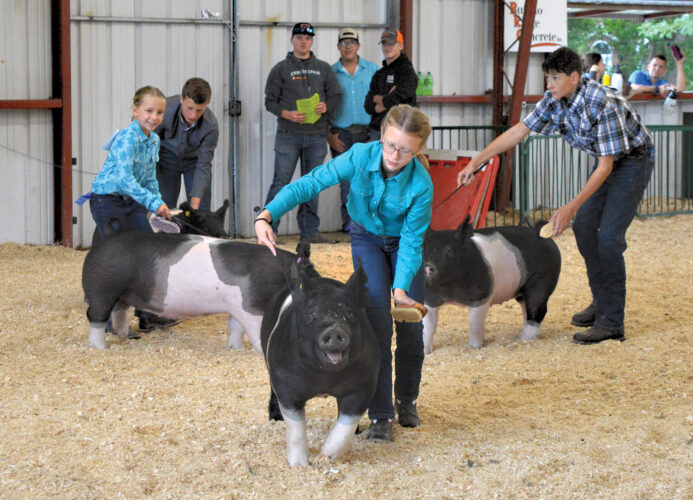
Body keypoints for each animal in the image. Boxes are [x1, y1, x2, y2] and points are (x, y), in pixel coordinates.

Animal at [82, 231, 315, 350]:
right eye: (311, 275)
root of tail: (95, 250)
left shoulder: (237, 306)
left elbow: (235, 328)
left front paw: (234, 348)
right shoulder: (251, 306)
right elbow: (256, 331)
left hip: (123, 294)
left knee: (118, 312)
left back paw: (125, 337)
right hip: (103, 289)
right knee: (95, 317)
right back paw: (100, 348)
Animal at [261, 245, 378, 467]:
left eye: (349, 313)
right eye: (312, 314)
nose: (334, 330)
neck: (325, 380)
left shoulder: (364, 383)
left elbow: (346, 425)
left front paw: (324, 459)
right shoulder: (285, 383)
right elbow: (296, 426)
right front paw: (299, 465)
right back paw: (275, 418)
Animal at [423, 217, 561, 351]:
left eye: (449, 251)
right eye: (424, 251)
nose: (428, 266)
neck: (449, 290)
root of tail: (543, 236)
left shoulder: (482, 297)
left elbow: (475, 325)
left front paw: (474, 347)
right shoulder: (429, 300)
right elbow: (428, 327)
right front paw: (426, 351)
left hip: (541, 282)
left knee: (538, 310)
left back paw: (524, 340)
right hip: (521, 291)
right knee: (526, 309)